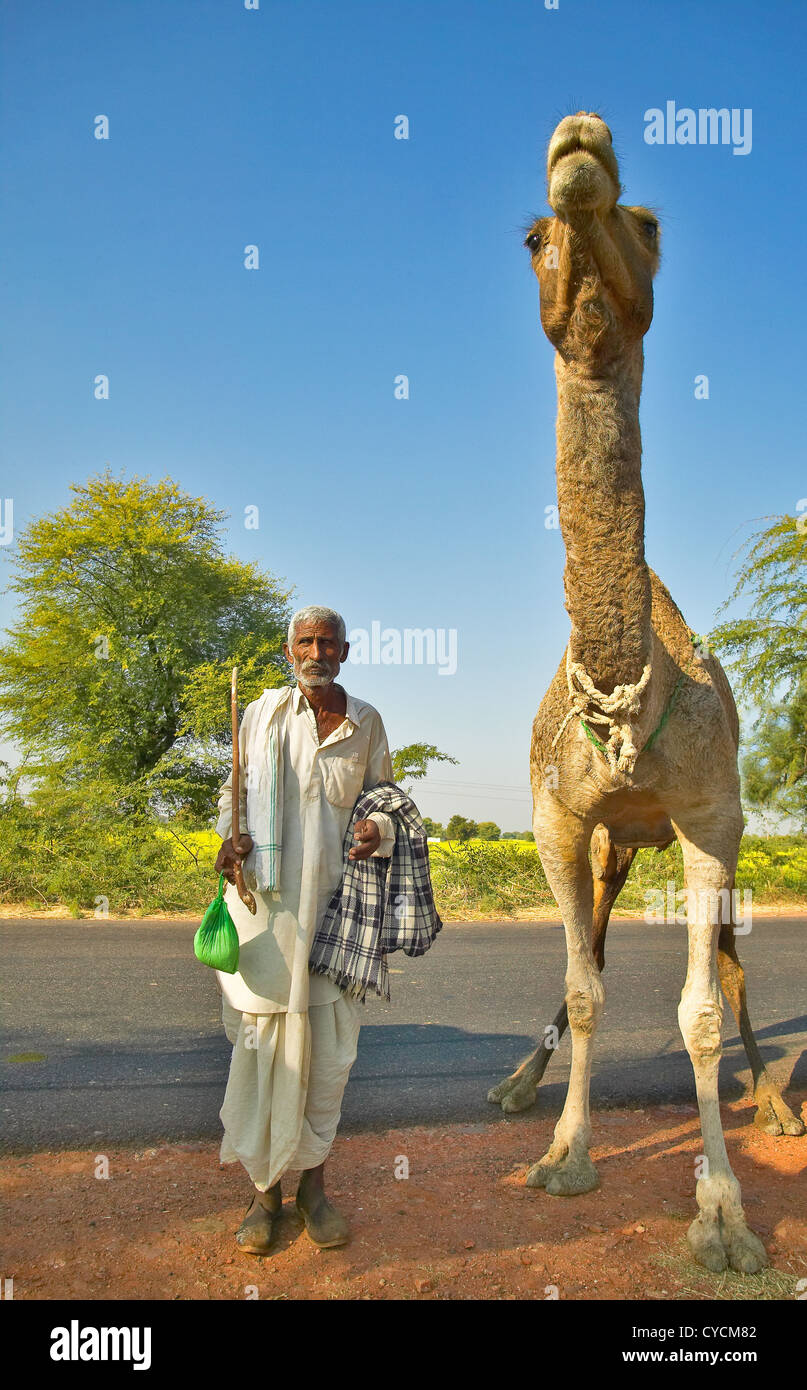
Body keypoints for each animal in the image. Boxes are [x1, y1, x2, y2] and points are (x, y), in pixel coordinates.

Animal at [489, 112, 803, 1274]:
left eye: (653, 224)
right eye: (532, 236)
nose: (578, 143)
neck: (629, 677)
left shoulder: (713, 814)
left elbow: (699, 1010)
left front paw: (726, 1216)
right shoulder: (557, 817)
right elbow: (588, 985)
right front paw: (563, 1155)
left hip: (704, 830)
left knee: (733, 965)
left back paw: (775, 1105)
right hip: (622, 838)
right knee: (606, 941)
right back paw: (519, 1086)